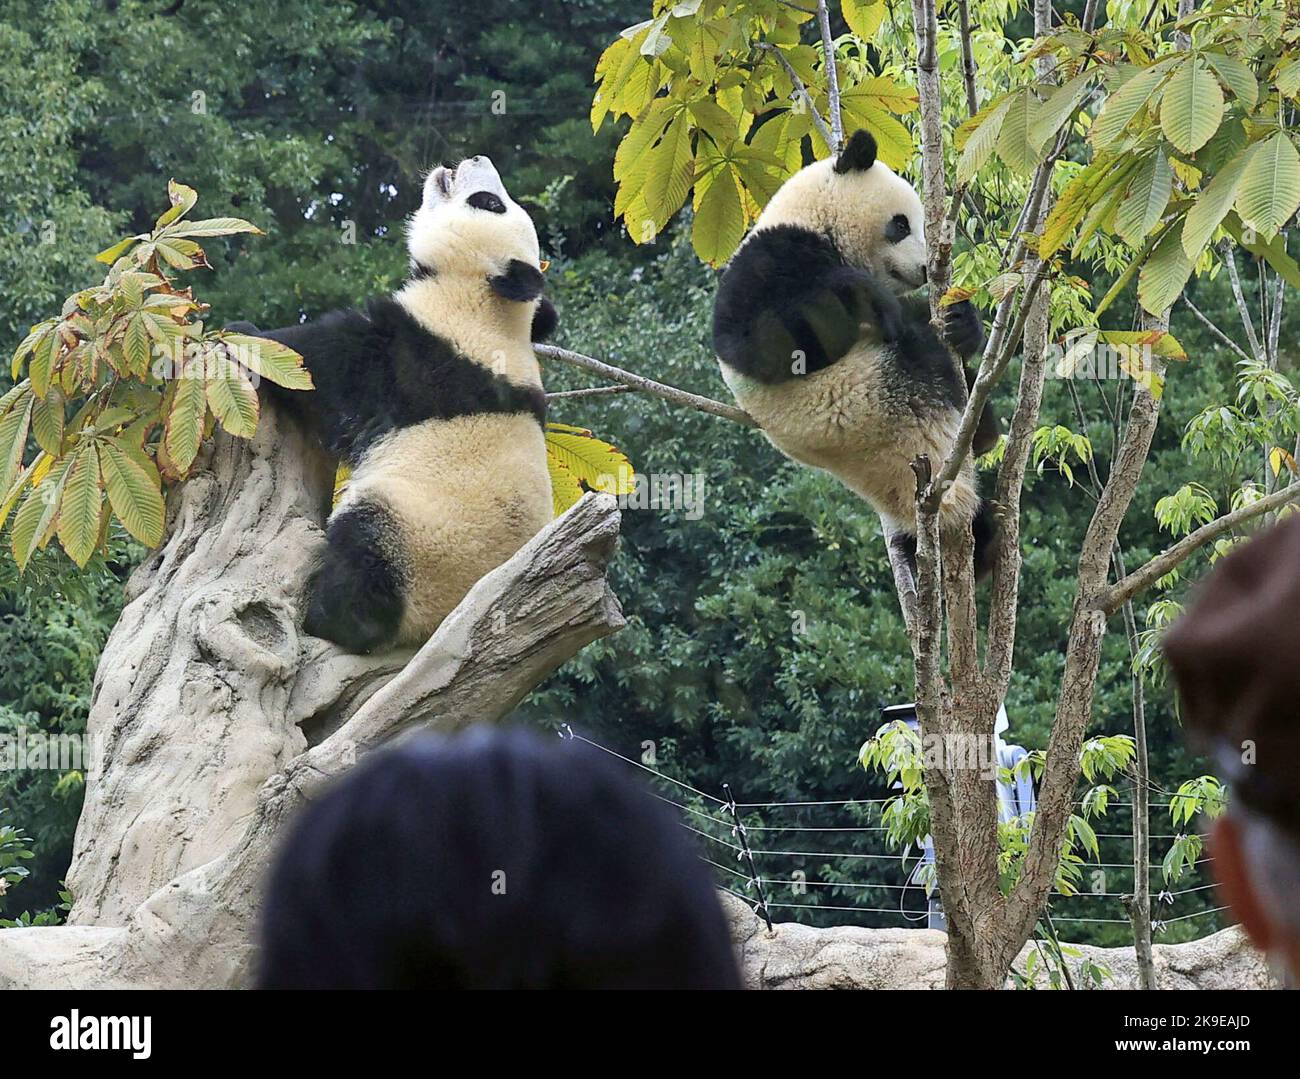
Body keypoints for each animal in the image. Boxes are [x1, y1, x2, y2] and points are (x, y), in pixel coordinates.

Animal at [227, 155, 558, 654]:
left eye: (488, 203)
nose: (477, 158)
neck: (486, 305)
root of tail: (431, 627)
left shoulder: (418, 353)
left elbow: (323, 364)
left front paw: (244, 333)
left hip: (415, 535)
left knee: (364, 551)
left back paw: (328, 618)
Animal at [712, 129, 1000, 576]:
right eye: (900, 225)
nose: (924, 269)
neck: (815, 220)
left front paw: (963, 322)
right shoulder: (769, 260)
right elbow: (757, 343)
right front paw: (865, 295)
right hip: (873, 394)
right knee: (918, 352)